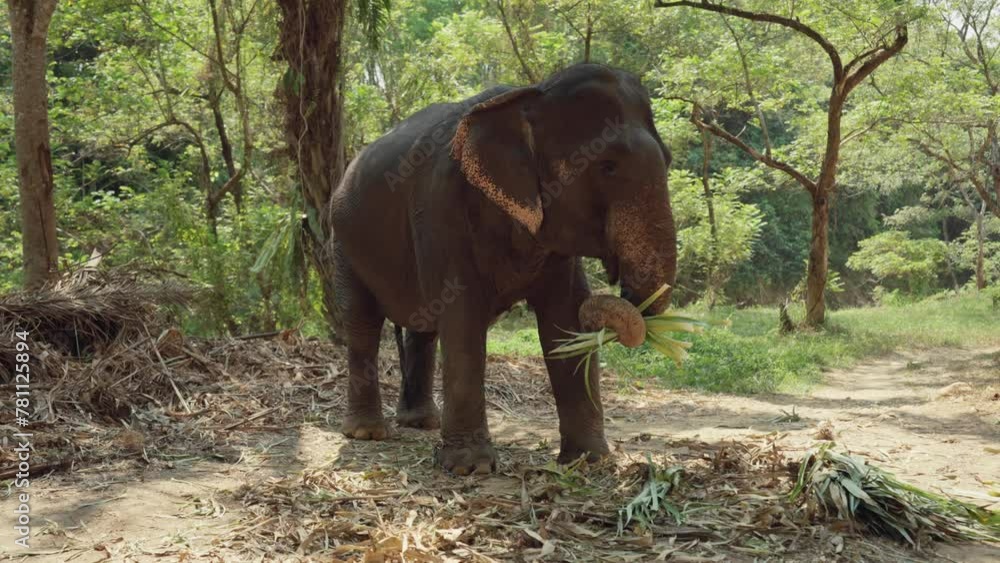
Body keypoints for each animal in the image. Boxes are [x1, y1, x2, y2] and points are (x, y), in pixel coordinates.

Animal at [328, 63, 677, 475]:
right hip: (342, 242)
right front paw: (470, 468)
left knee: (422, 328)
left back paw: (421, 423)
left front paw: (588, 461)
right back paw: (367, 433)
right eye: (607, 166)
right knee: (362, 322)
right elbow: (462, 314)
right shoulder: (441, 207)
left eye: (669, 160)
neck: (530, 95)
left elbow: (564, 316)